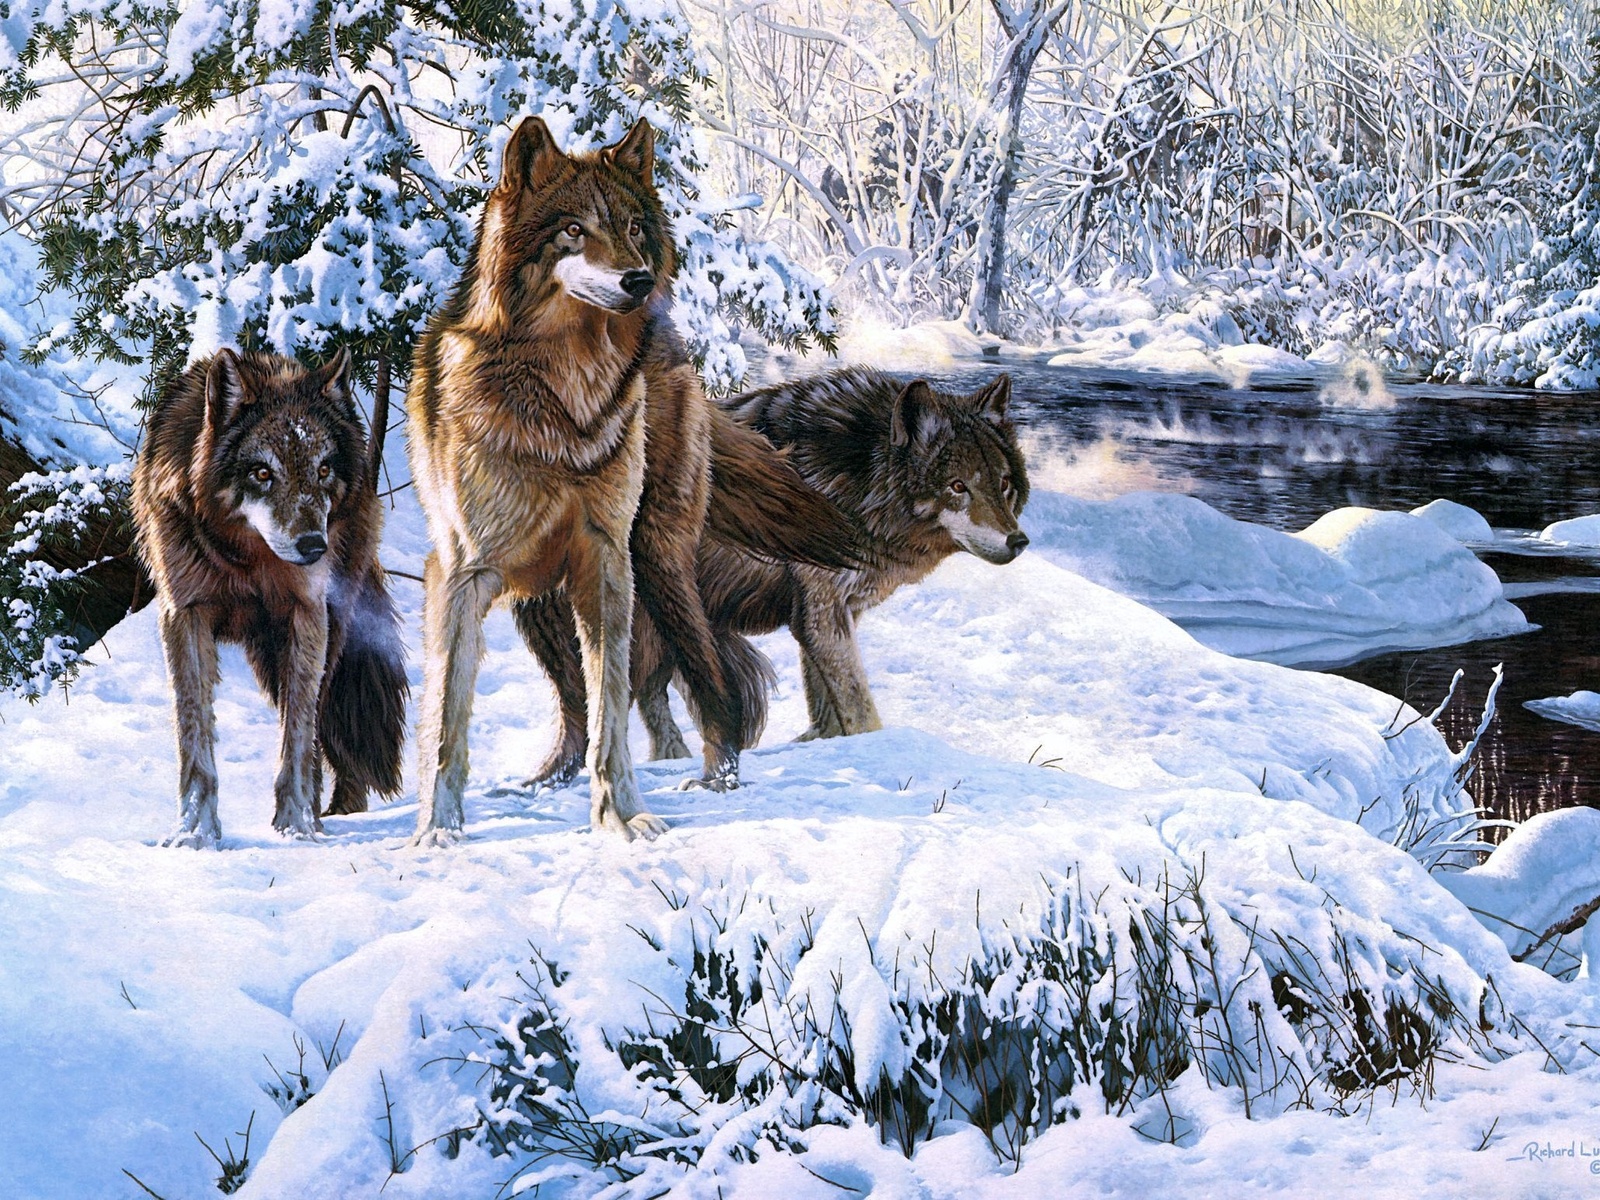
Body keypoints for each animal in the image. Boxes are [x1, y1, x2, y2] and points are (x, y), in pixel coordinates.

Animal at [132, 349, 407, 846]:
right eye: (262, 473)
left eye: (322, 470)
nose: (314, 546)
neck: (246, 561)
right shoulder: (185, 615)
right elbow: (193, 731)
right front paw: (195, 832)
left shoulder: (306, 614)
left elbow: (298, 734)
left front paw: (296, 825)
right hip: (265, 655)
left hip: (319, 635)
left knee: (318, 720)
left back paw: (324, 813)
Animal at [407, 116, 862, 844]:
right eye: (573, 230)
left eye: (633, 227)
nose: (639, 281)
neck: (562, 402)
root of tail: (672, 344)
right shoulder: (462, 572)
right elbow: (449, 716)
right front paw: (438, 831)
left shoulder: (606, 561)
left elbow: (612, 710)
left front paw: (621, 818)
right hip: (539, 605)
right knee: (570, 708)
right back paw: (545, 781)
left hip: (656, 560)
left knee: (710, 680)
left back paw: (717, 779)